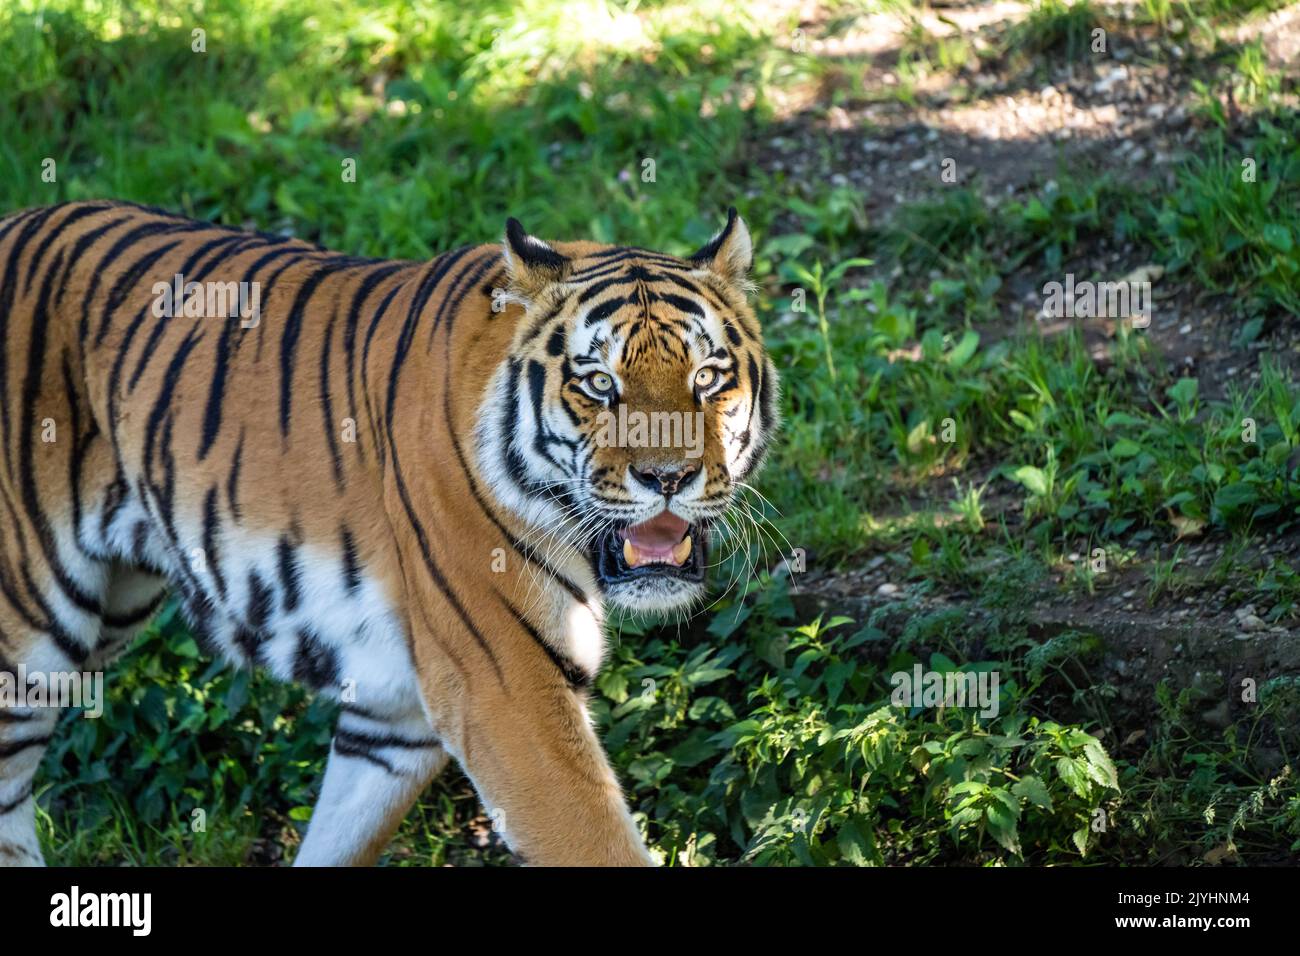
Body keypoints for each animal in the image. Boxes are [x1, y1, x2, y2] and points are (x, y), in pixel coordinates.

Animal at [0, 200, 779, 866]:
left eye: (707, 378)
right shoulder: (506, 688)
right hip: (29, 637)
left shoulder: (393, 715)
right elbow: (596, 841)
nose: (667, 476)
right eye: (598, 384)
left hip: (112, 607)